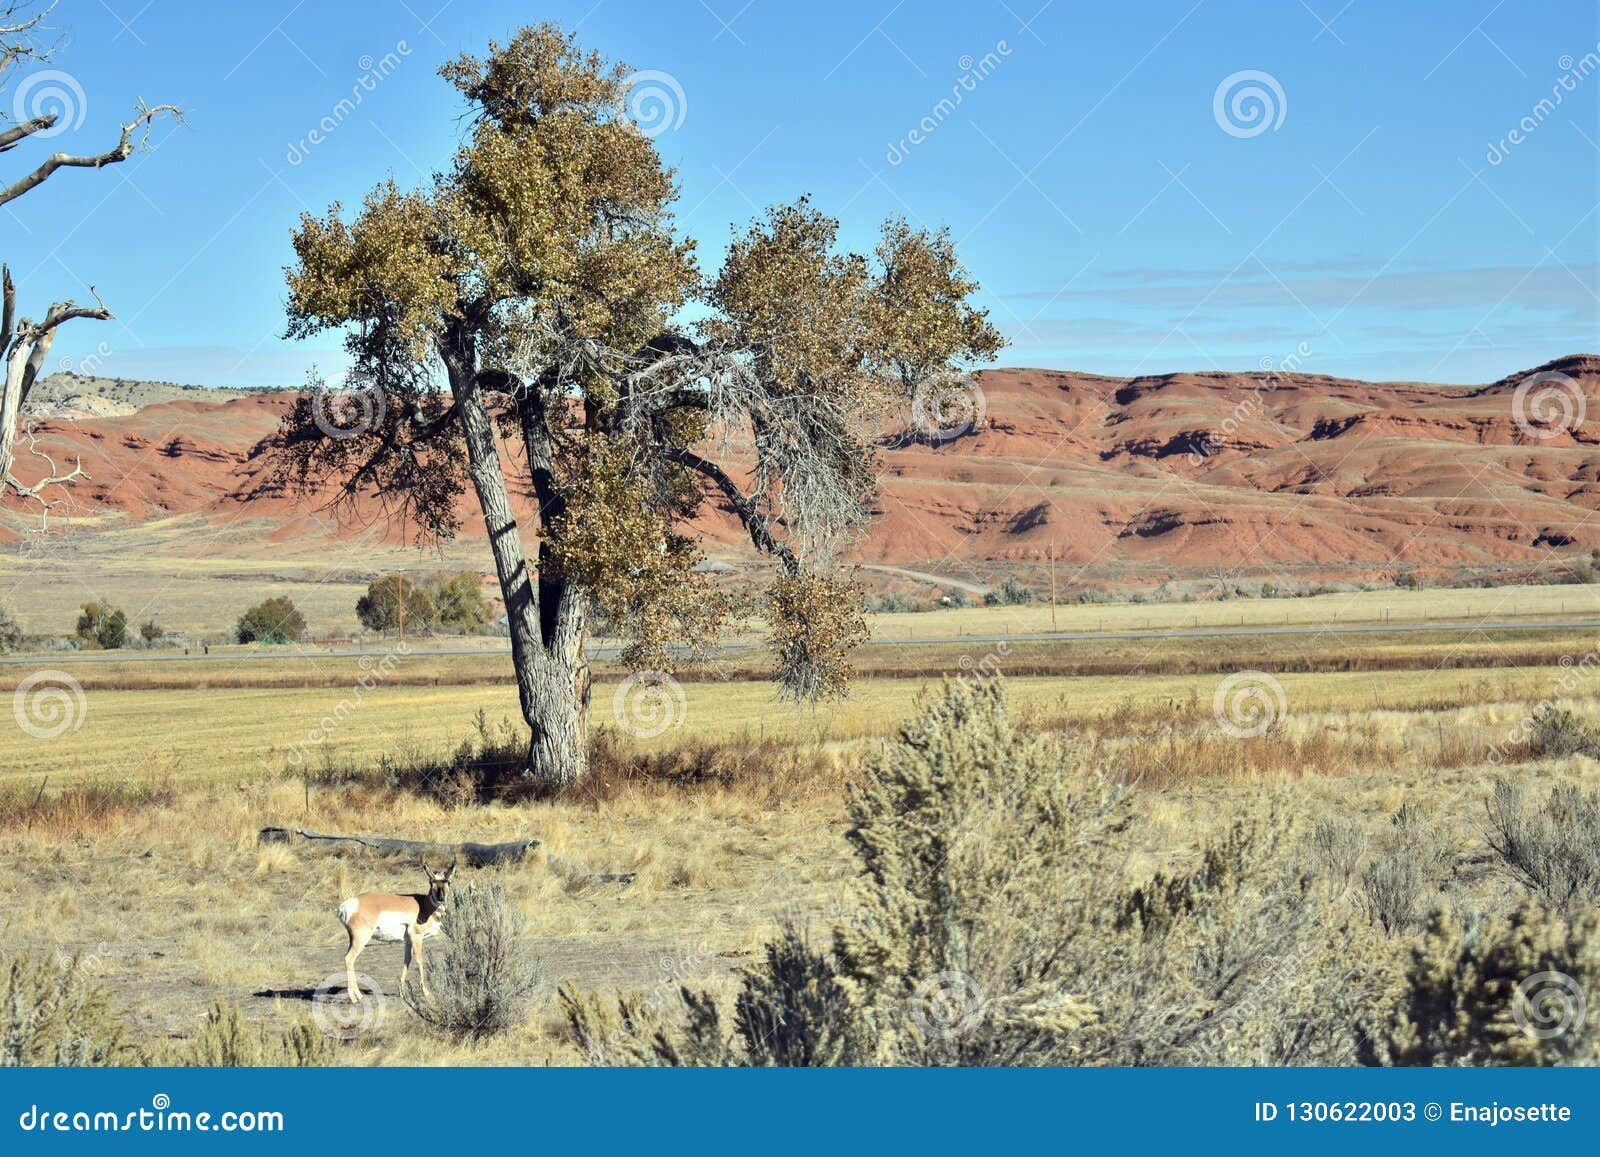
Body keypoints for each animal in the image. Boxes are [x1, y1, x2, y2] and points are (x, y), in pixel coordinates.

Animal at [336, 858, 454, 1004]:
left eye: (448, 882)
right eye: (431, 882)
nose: (441, 898)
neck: (423, 905)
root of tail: (347, 905)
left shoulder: (408, 941)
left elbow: (407, 961)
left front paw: (402, 992)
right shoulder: (417, 937)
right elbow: (420, 960)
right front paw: (426, 993)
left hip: (353, 940)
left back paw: (358, 995)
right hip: (361, 939)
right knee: (349, 958)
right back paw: (355, 997)